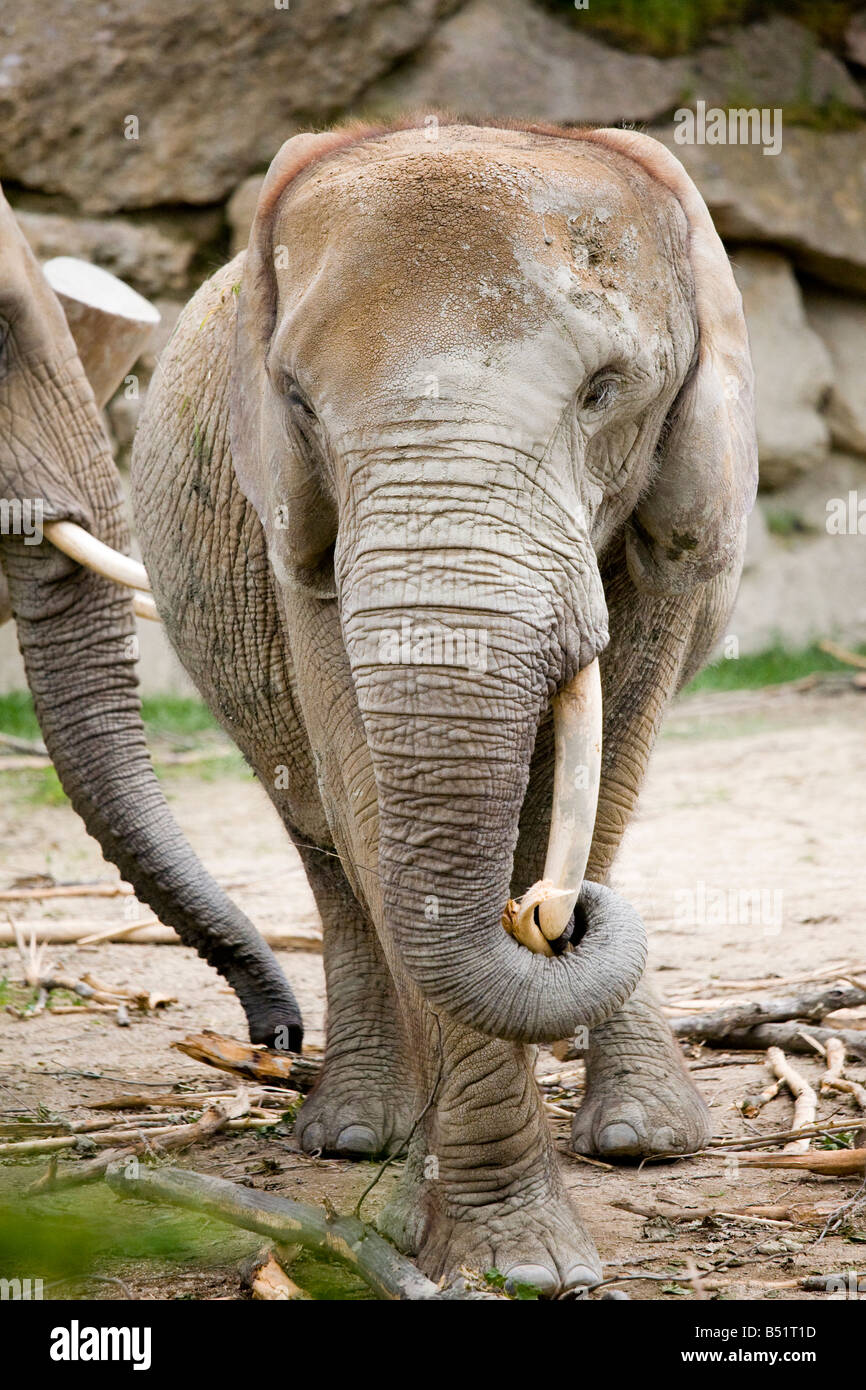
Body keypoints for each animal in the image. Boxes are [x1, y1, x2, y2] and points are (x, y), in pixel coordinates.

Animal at [128, 120, 757, 1294]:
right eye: (297, 400)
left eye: (605, 390)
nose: (550, 918)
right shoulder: (299, 528)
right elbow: (364, 784)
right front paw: (517, 1264)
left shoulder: (679, 508)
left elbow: (608, 763)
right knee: (323, 840)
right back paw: (362, 1137)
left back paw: (645, 1137)